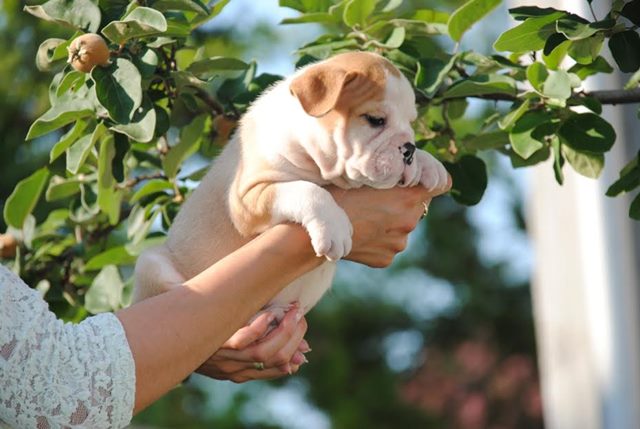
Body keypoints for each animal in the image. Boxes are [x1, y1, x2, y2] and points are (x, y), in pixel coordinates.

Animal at [131, 51, 450, 320]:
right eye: (375, 120)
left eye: (410, 124)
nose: (408, 149)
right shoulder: (249, 197)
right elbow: (307, 190)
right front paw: (333, 226)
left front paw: (429, 165)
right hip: (152, 265)